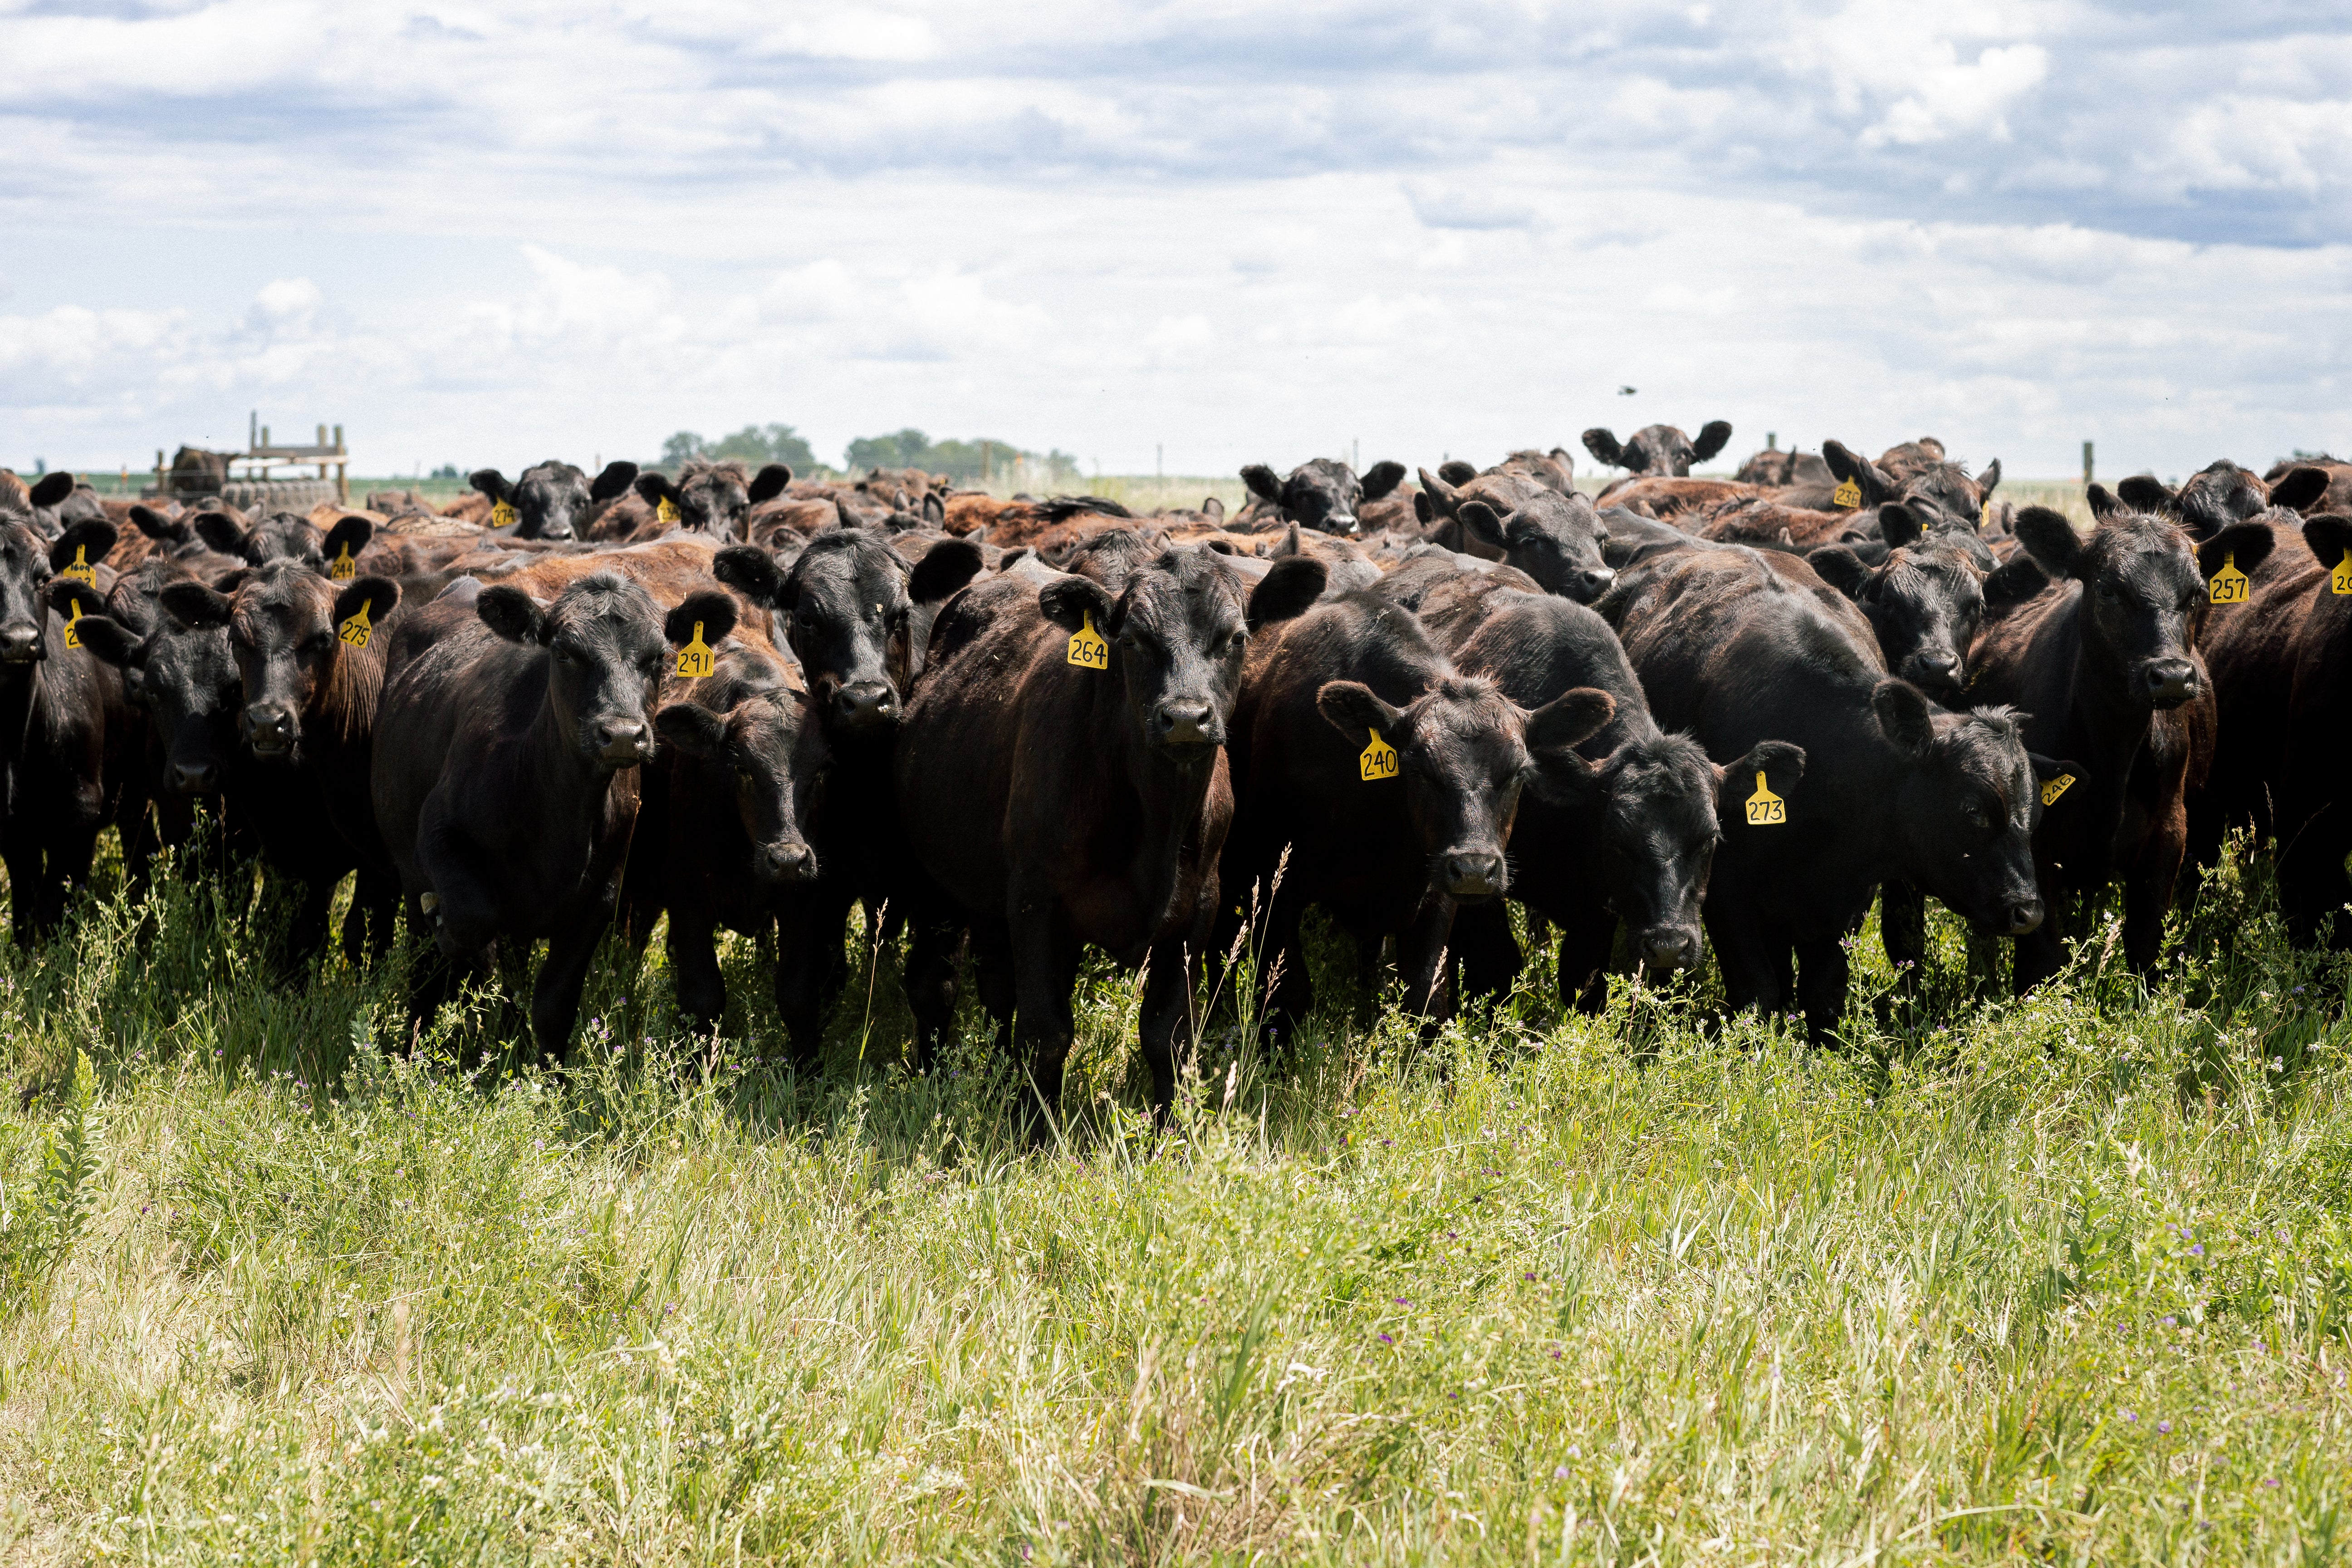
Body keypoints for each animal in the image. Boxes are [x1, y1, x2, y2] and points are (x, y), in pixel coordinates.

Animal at [374, 574, 738, 1059]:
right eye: (565, 653)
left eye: (660, 656)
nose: (622, 734)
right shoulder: (436, 833)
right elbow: (471, 917)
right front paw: (448, 930)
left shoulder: (600, 894)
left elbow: (553, 1004)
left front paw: (548, 1074)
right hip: (410, 868)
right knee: (425, 972)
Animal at [895, 550, 1327, 1136]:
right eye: (1133, 640)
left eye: (1236, 637)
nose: (1186, 717)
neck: (1156, 823)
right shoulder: (1034, 900)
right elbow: (1046, 1030)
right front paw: (1034, 1133)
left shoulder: (1199, 908)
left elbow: (1169, 1034)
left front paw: (1171, 1133)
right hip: (934, 883)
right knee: (936, 985)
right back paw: (938, 1078)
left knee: (997, 991)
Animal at [1601, 545, 2051, 1038]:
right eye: (1972, 809)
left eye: (2034, 813)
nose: (2028, 912)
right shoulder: (1726, 894)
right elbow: (1757, 992)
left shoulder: (1847, 899)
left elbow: (1824, 995)